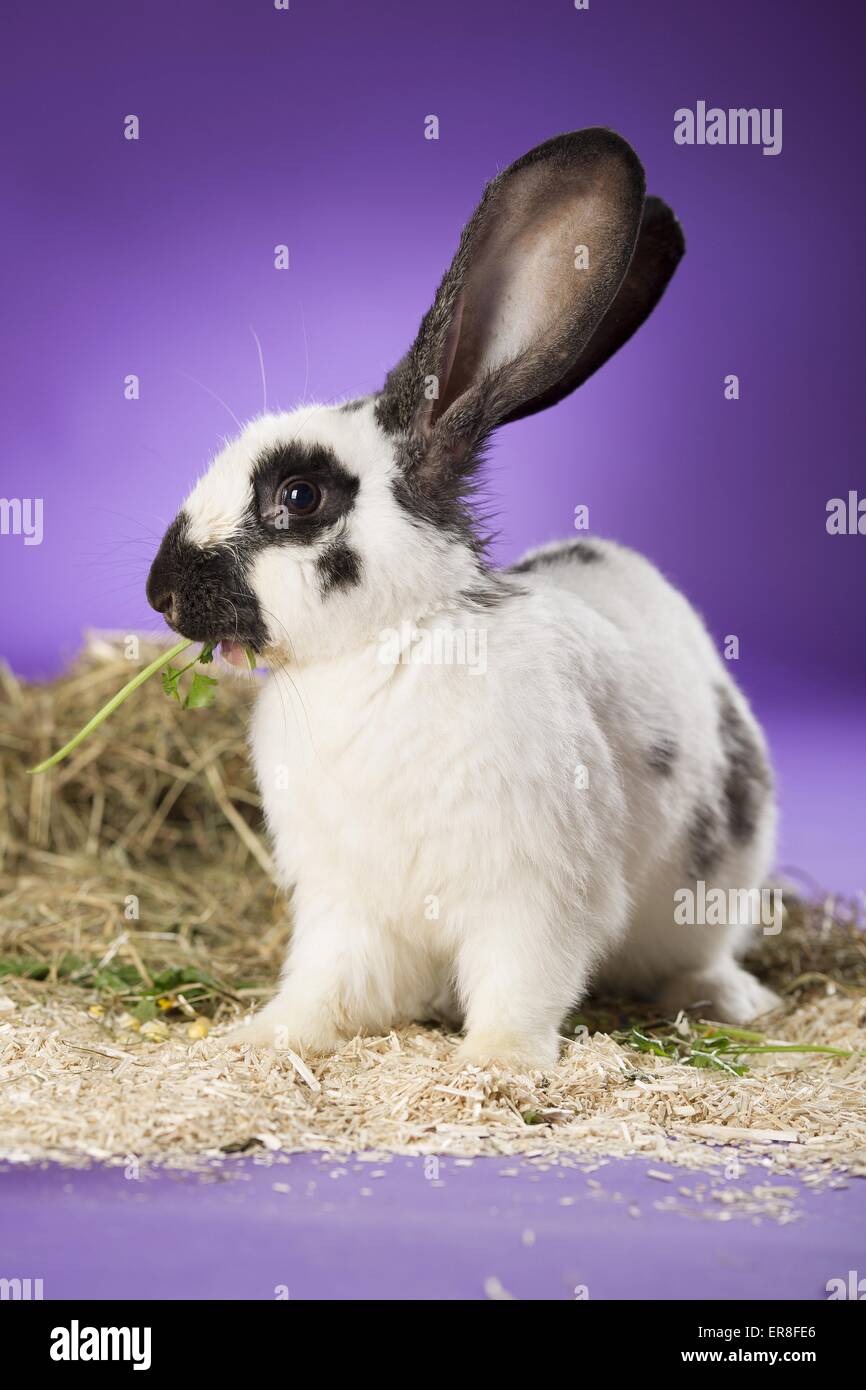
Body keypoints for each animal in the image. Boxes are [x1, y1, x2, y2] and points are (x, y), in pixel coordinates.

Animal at [146, 128, 779, 1070]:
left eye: (300, 496)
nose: (161, 593)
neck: (391, 645)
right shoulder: (348, 906)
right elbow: (329, 983)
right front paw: (265, 1036)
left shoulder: (535, 896)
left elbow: (523, 983)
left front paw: (499, 1065)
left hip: (717, 882)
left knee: (697, 953)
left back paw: (727, 998)